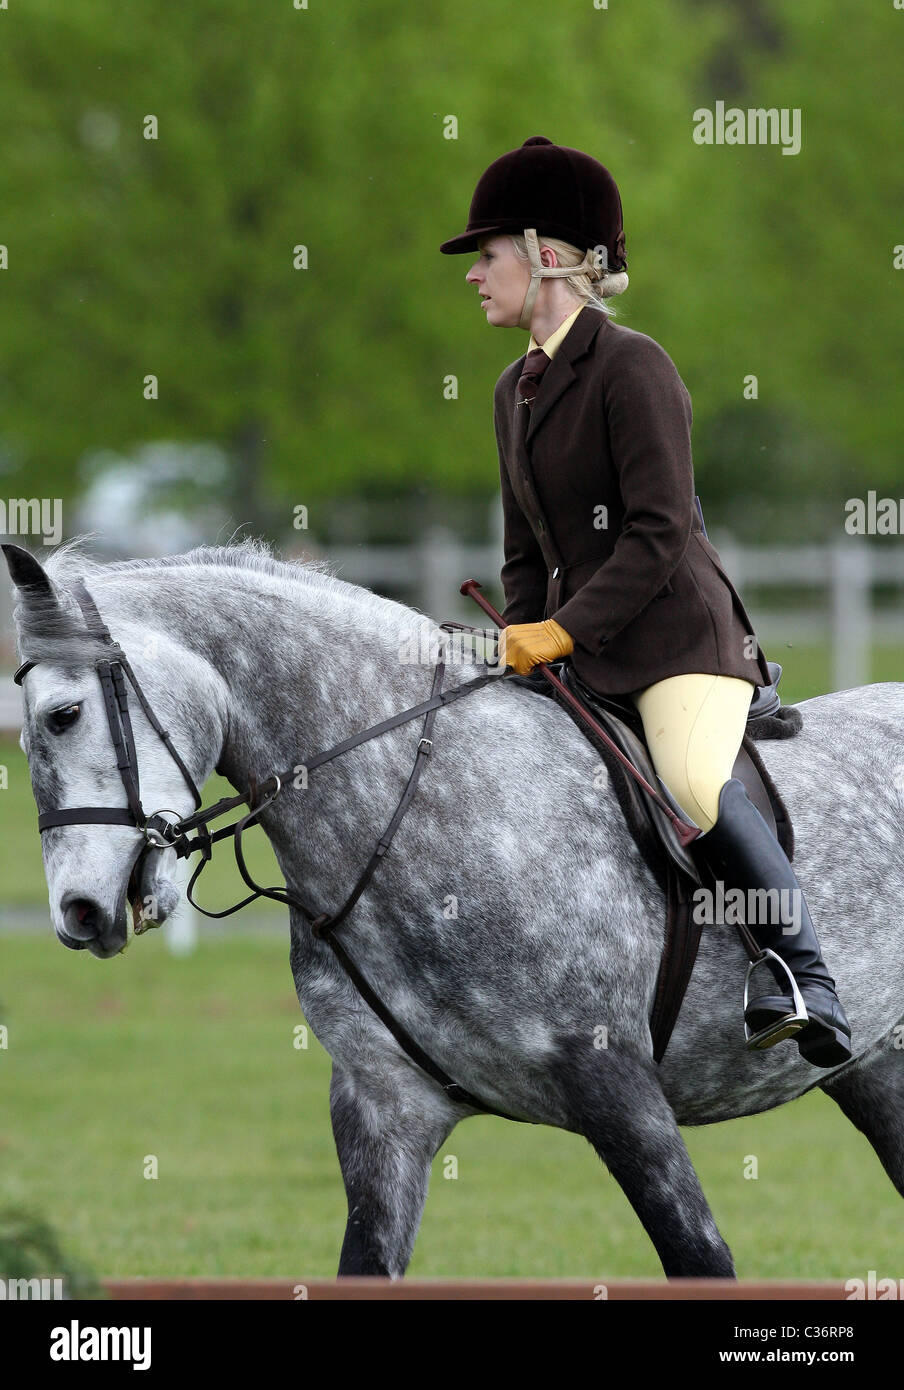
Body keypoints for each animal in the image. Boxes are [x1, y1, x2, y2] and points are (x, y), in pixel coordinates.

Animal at [5, 537, 904, 1279]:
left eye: (63, 715)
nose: (78, 913)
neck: (418, 801)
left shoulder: (617, 1085)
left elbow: (701, 1258)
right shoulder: (384, 1108)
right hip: (877, 1070)